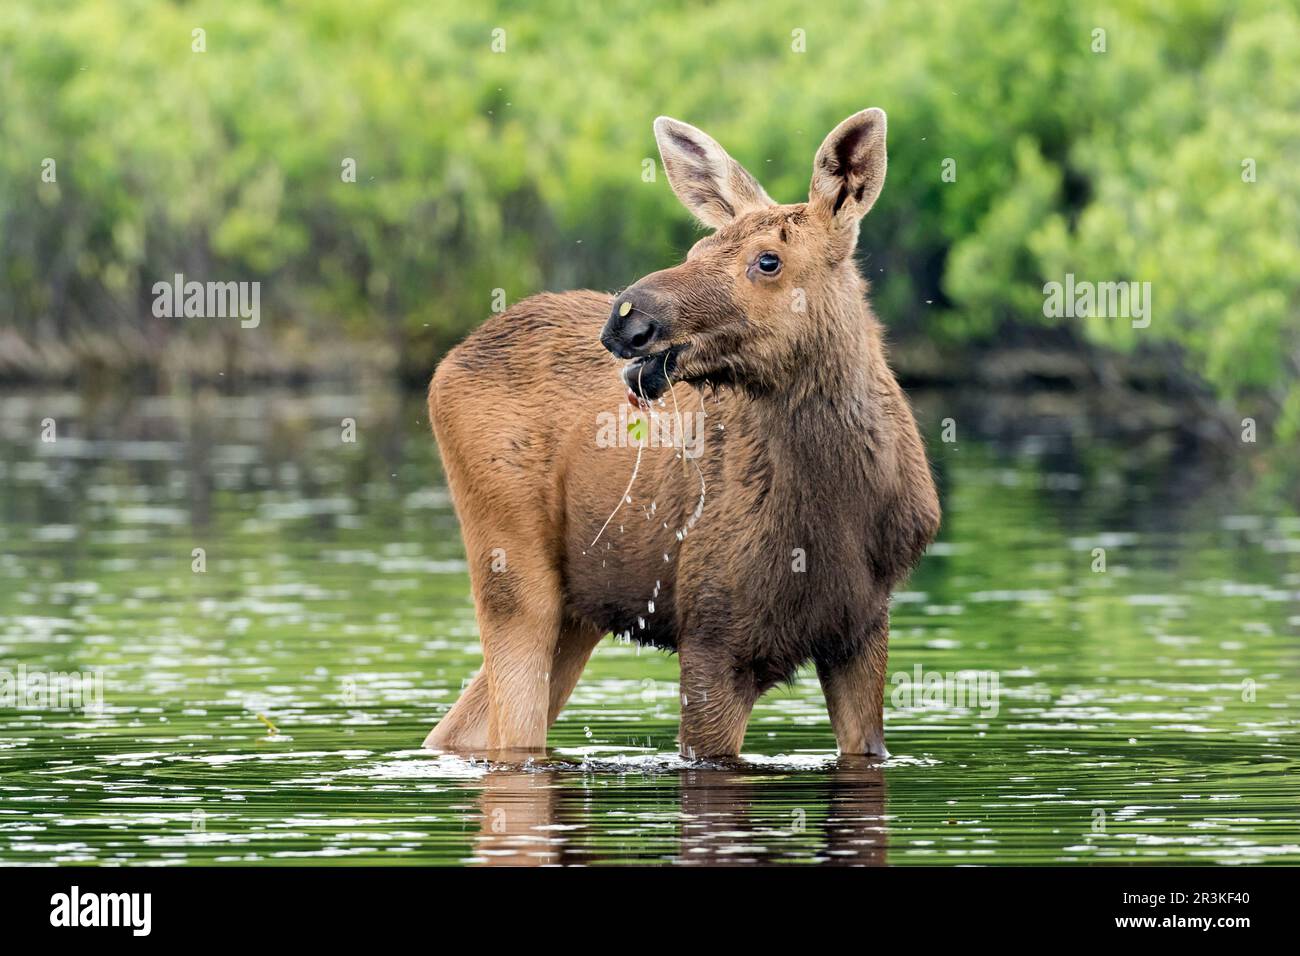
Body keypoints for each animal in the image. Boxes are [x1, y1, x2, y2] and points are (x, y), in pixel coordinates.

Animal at [423, 108, 940, 761]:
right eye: (697, 247)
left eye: (768, 260)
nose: (627, 316)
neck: (837, 517)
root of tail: (446, 365)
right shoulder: (711, 631)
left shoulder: (863, 628)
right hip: (512, 568)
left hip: (580, 606)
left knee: (457, 730)